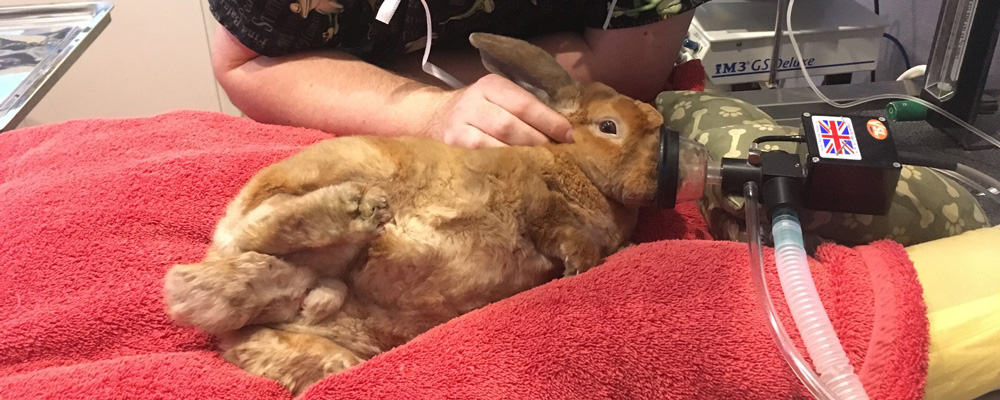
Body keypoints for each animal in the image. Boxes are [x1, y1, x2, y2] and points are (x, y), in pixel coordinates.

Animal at [162, 32, 667, 395]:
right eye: (609, 126)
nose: (659, 179)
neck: (573, 164)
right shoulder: (537, 201)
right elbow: (559, 228)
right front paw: (580, 266)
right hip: (317, 183)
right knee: (257, 234)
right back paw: (355, 209)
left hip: (299, 322)